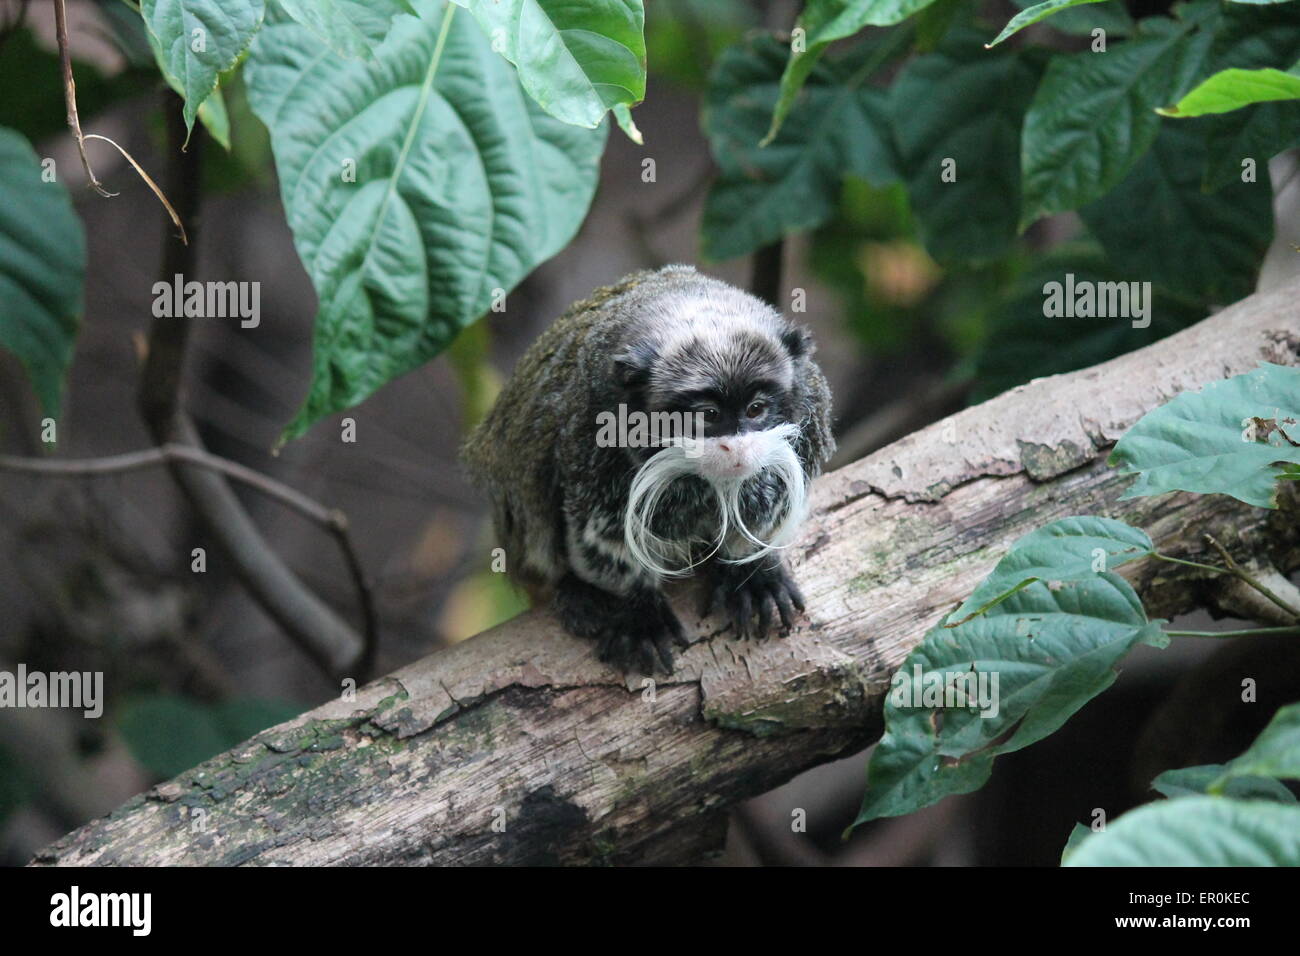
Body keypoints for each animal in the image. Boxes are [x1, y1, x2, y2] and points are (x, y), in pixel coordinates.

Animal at [461, 265, 835, 675]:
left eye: (756, 409)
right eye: (708, 415)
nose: (736, 446)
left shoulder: (809, 415)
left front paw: (750, 572)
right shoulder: (596, 433)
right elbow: (604, 536)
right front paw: (637, 611)